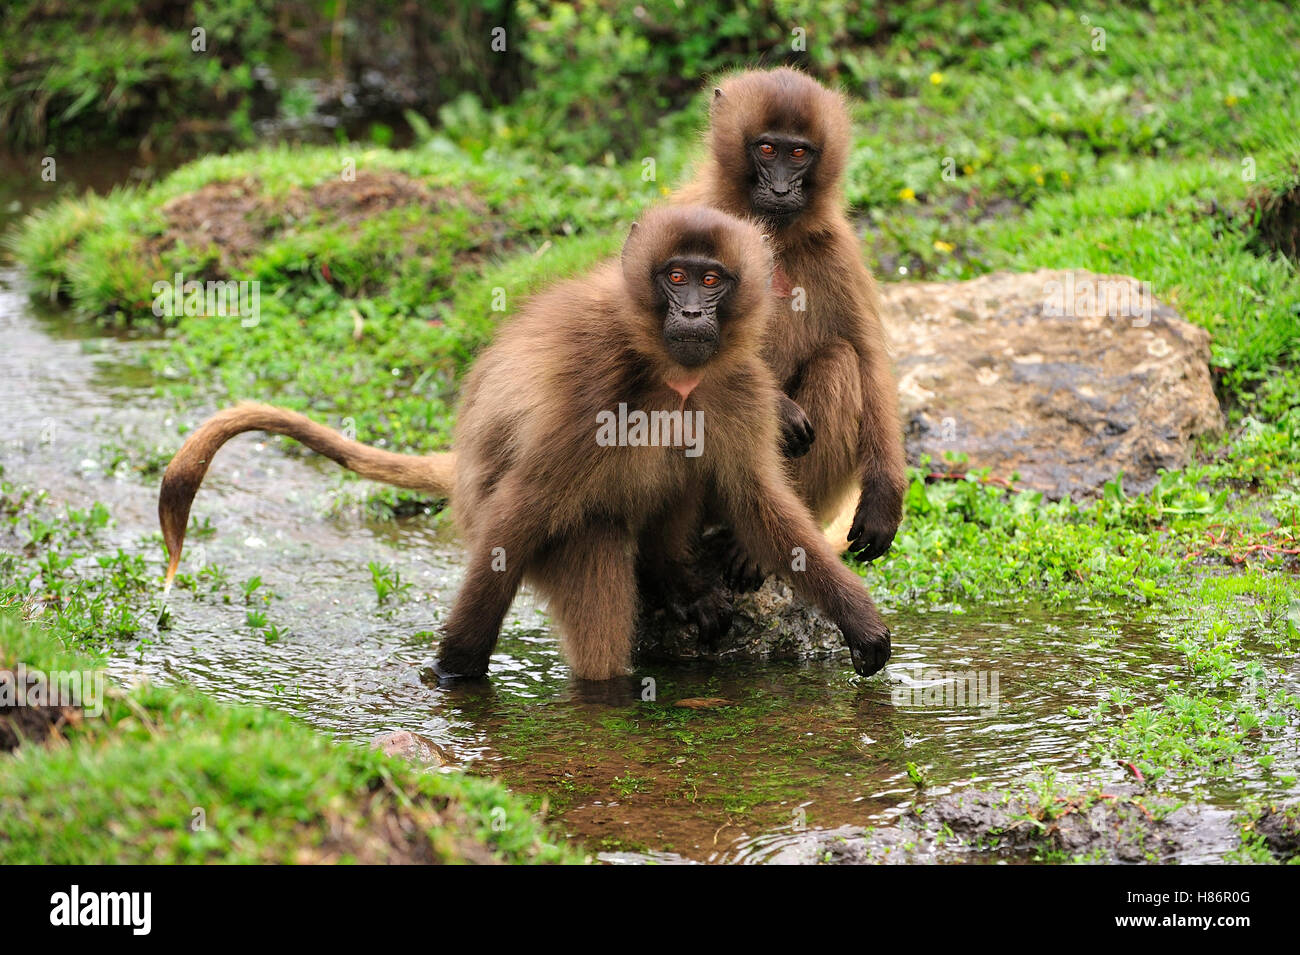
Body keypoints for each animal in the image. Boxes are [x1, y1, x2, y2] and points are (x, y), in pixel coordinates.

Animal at [159, 206, 891, 681]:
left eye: (712, 280)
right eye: (675, 276)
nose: (690, 314)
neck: (669, 371)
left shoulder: (736, 382)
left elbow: (757, 499)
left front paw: (861, 624)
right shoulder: (593, 385)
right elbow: (527, 505)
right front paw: (456, 670)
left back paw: (668, 569)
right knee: (590, 541)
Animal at [672, 67, 908, 584]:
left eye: (798, 153)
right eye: (766, 148)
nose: (781, 190)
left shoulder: (835, 250)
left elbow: (867, 356)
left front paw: (884, 498)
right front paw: (780, 411)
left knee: (840, 360)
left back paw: (759, 547)